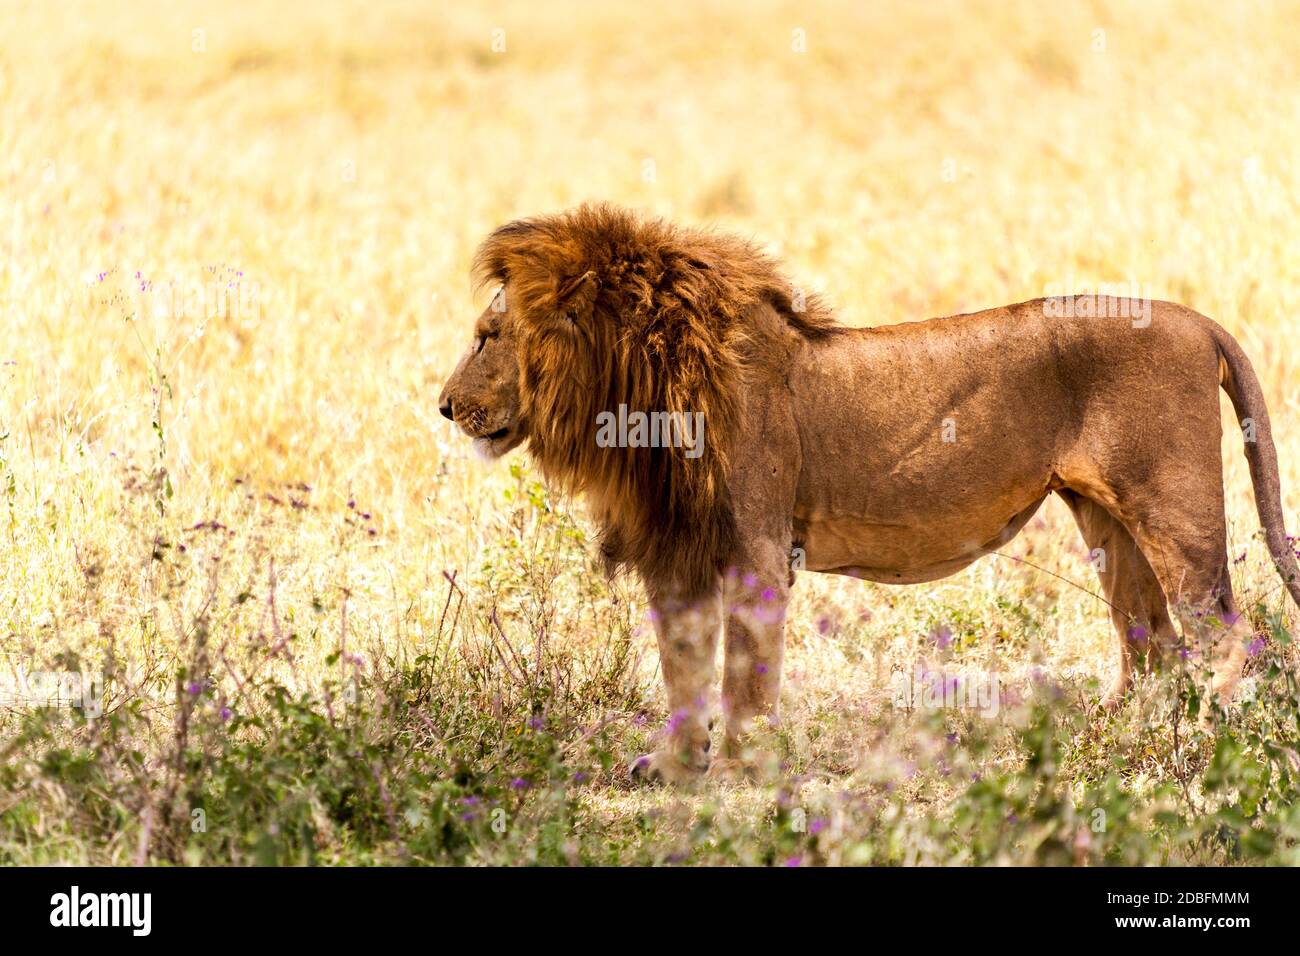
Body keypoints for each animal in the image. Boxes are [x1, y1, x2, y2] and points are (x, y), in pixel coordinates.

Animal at [439, 202, 1300, 784]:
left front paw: (739, 768)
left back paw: (1217, 743)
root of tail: (1196, 320)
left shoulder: (755, 550)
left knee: (1223, 631)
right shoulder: (676, 553)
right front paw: (676, 764)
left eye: (487, 338)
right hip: (1106, 522)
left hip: (1173, 512)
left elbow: (743, 674)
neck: (638, 397)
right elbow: (682, 668)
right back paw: (1117, 739)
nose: (444, 407)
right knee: (1150, 643)